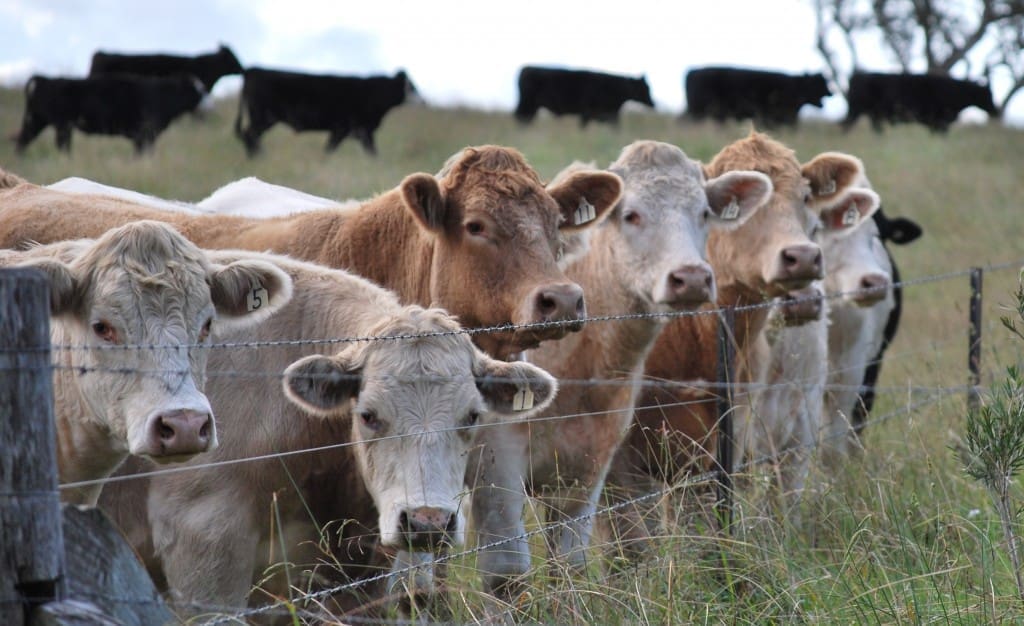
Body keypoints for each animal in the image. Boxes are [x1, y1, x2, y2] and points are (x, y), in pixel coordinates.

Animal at [15, 74, 205, 154]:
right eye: (196, 91)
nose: (207, 103)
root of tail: (42, 79)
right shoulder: (144, 134)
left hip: (36, 120)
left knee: (22, 140)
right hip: (62, 125)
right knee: (61, 146)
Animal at [235, 67, 420, 156]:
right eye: (412, 86)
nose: (423, 100)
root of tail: (250, 70)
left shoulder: (357, 131)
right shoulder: (350, 129)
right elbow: (331, 149)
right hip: (262, 117)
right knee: (250, 135)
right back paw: (258, 157)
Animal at [514, 66, 655, 127]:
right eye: (645, 88)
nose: (653, 103)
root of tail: (525, 68)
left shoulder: (611, 115)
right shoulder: (587, 113)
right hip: (527, 104)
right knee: (521, 117)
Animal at [842, 71, 999, 133]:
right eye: (989, 94)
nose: (996, 112)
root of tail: (857, 75)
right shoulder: (940, 121)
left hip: (872, 114)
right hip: (855, 110)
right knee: (846, 125)